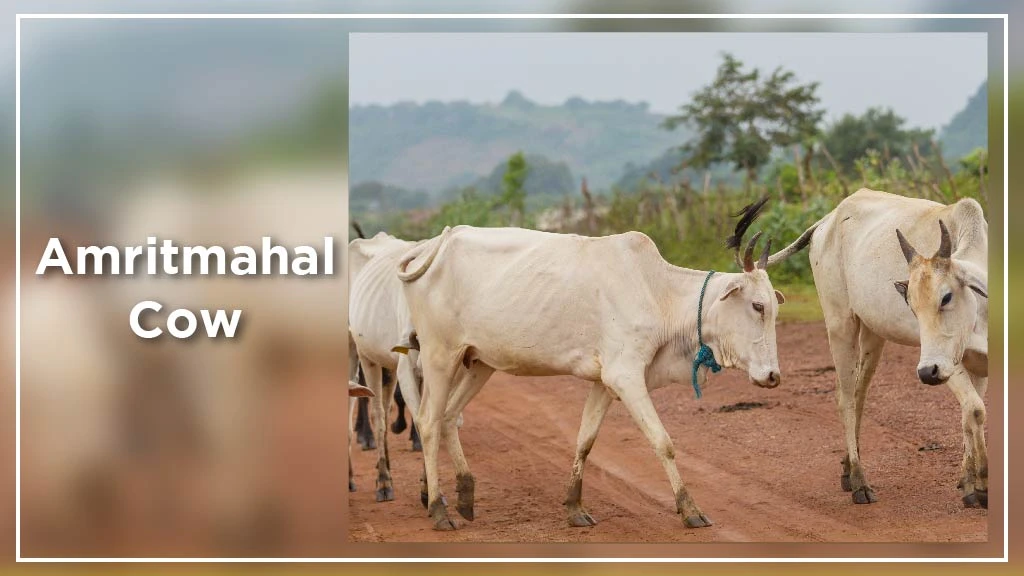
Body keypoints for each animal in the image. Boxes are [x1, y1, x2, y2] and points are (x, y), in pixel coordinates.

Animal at [396, 225, 784, 530]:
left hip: (479, 362)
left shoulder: (604, 382)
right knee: (428, 421)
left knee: (448, 417)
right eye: (757, 306)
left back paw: (464, 494)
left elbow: (585, 441)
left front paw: (574, 507)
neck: (658, 293)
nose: (773, 376)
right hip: (439, 355)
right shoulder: (626, 376)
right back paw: (439, 509)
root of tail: (436, 243)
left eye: (774, 308)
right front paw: (690, 509)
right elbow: (663, 442)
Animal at [728, 188, 988, 508]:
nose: (928, 372)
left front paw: (968, 482)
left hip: (873, 333)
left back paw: (847, 469)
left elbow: (969, 413)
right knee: (845, 397)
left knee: (859, 393)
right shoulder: (945, 362)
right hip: (840, 323)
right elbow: (975, 409)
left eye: (947, 297)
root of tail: (827, 220)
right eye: (912, 306)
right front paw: (980, 487)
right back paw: (859, 481)